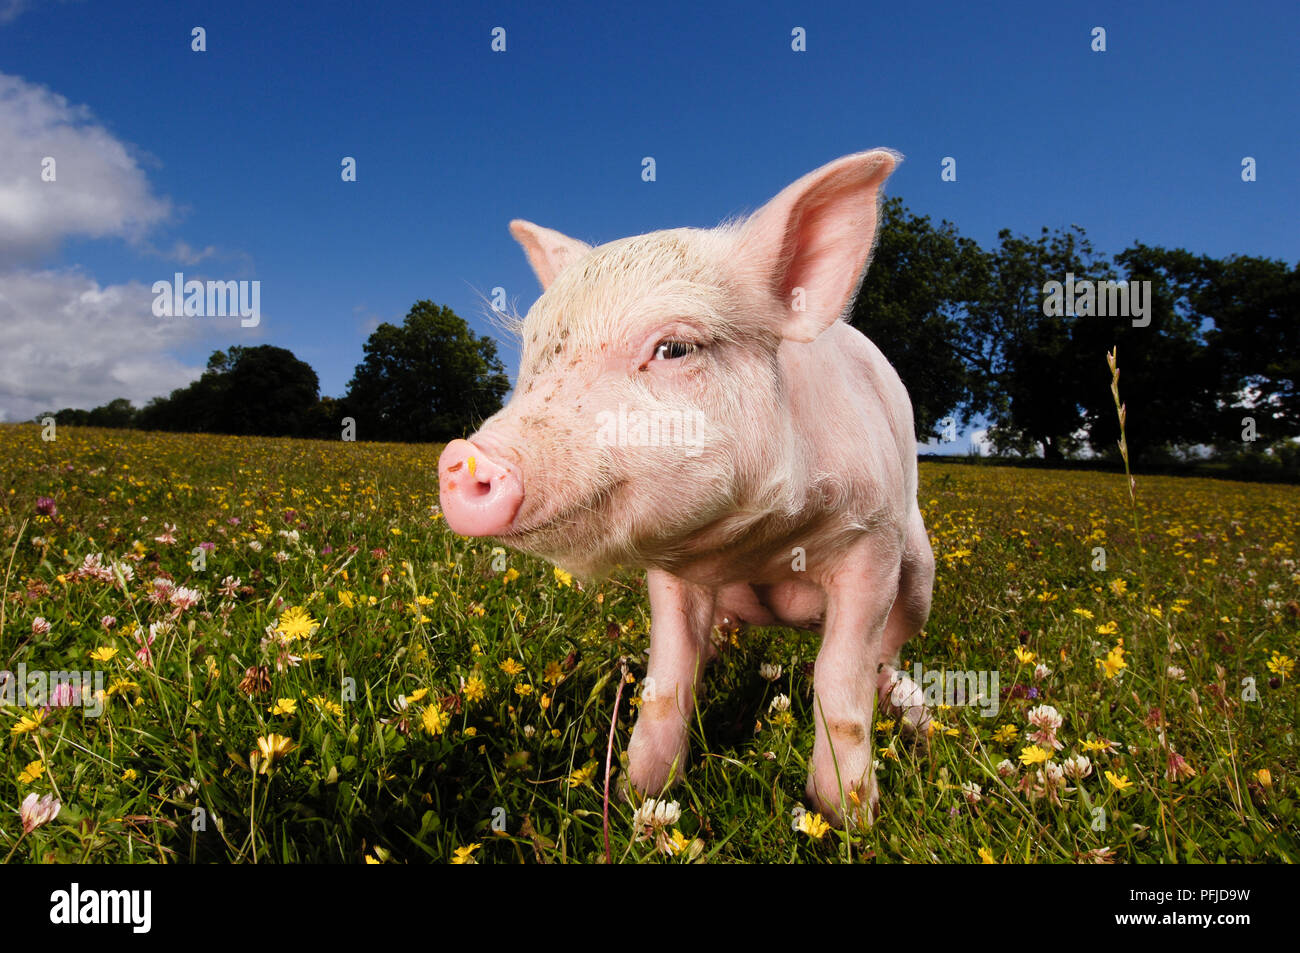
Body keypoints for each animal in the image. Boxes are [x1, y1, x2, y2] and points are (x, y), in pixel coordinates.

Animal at [438, 150, 934, 826]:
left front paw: (847, 820)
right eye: (534, 358)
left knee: (890, 652)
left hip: (921, 571)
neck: (764, 547)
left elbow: (840, 677)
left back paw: (915, 717)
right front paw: (637, 799)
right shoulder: (672, 570)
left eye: (674, 347)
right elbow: (669, 677)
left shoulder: (873, 543)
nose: (463, 456)